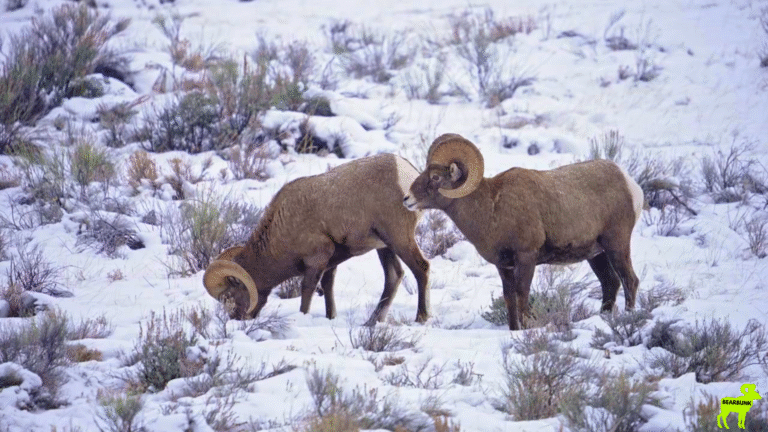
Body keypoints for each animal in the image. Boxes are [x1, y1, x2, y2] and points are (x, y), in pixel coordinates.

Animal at [203, 153, 430, 326]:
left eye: (228, 296)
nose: (237, 319)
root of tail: (406, 172)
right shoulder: (330, 263)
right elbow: (328, 287)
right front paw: (331, 318)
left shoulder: (316, 260)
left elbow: (307, 292)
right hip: (385, 246)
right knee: (394, 276)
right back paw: (371, 323)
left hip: (399, 239)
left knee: (421, 269)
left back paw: (421, 318)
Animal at [403, 133, 643, 330]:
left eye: (435, 177)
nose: (407, 199)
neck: (491, 209)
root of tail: (631, 185)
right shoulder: (504, 266)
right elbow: (510, 298)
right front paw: (514, 331)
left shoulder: (526, 257)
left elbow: (522, 296)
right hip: (596, 254)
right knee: (610, 283)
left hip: (616, 244)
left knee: (629, 280)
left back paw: (628, 319)